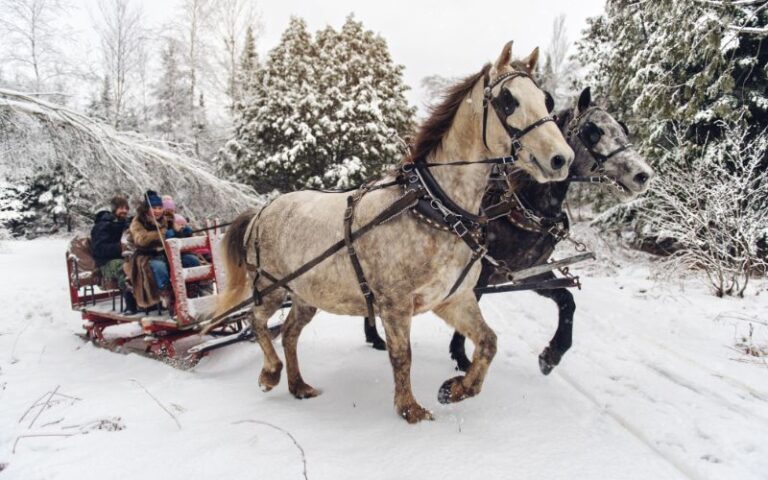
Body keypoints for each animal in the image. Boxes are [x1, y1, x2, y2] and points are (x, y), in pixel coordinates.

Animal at [214, 42, 574, 423]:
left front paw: (456, 389)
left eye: (547, 100)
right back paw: (271, 373)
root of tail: (262, 209)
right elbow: (403, 356)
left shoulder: (452, 298)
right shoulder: (395, 304)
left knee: (290, 333)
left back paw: (298, 385)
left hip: (306, 295)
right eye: (508, 100)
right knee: (256, 321)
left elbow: (489, 342)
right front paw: (410, 409)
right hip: (270, 288)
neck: (435, 208)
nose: (561, 159)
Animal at [363, 87, 655, 375]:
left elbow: (567, 300)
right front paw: (461, 357)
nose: (643, 175)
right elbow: (474, 306)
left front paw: (551, 356)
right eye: (593, 131)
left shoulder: (527, 272)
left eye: (623, 129)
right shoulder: (481, 272)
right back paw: (375, 335)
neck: (520, 205)